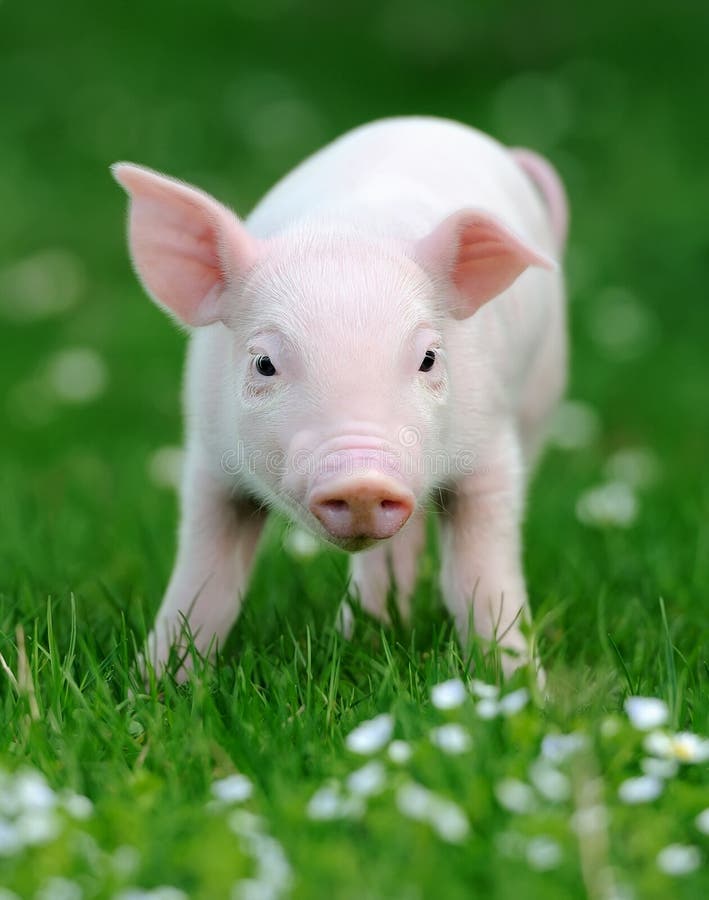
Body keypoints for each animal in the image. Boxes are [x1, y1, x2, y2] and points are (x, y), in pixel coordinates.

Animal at [112, 115, 567, 679]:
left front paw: (519, 685)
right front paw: (152, 685)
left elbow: (482, 576)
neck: (346, 233)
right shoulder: (210, 454)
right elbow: (203, 581)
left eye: (429, 358)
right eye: (264, 363)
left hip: (542, 395)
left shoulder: (492, 445)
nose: (363, 480)